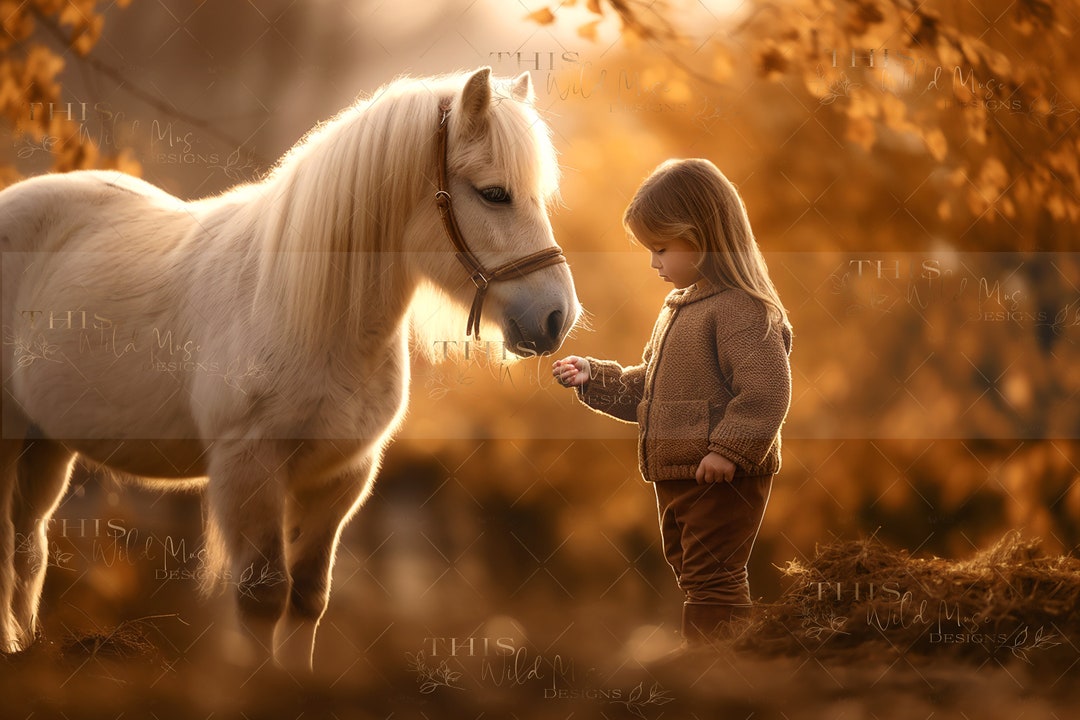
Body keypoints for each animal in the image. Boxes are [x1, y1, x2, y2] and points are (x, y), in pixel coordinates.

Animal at [0, 66, 579, 671]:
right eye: (494, 194)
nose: (556, 317)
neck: (307, 313)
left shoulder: (338, 477)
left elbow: (307, 597)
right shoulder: (248, 470)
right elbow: (263, 595)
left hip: (47, 442)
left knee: (28, 544)